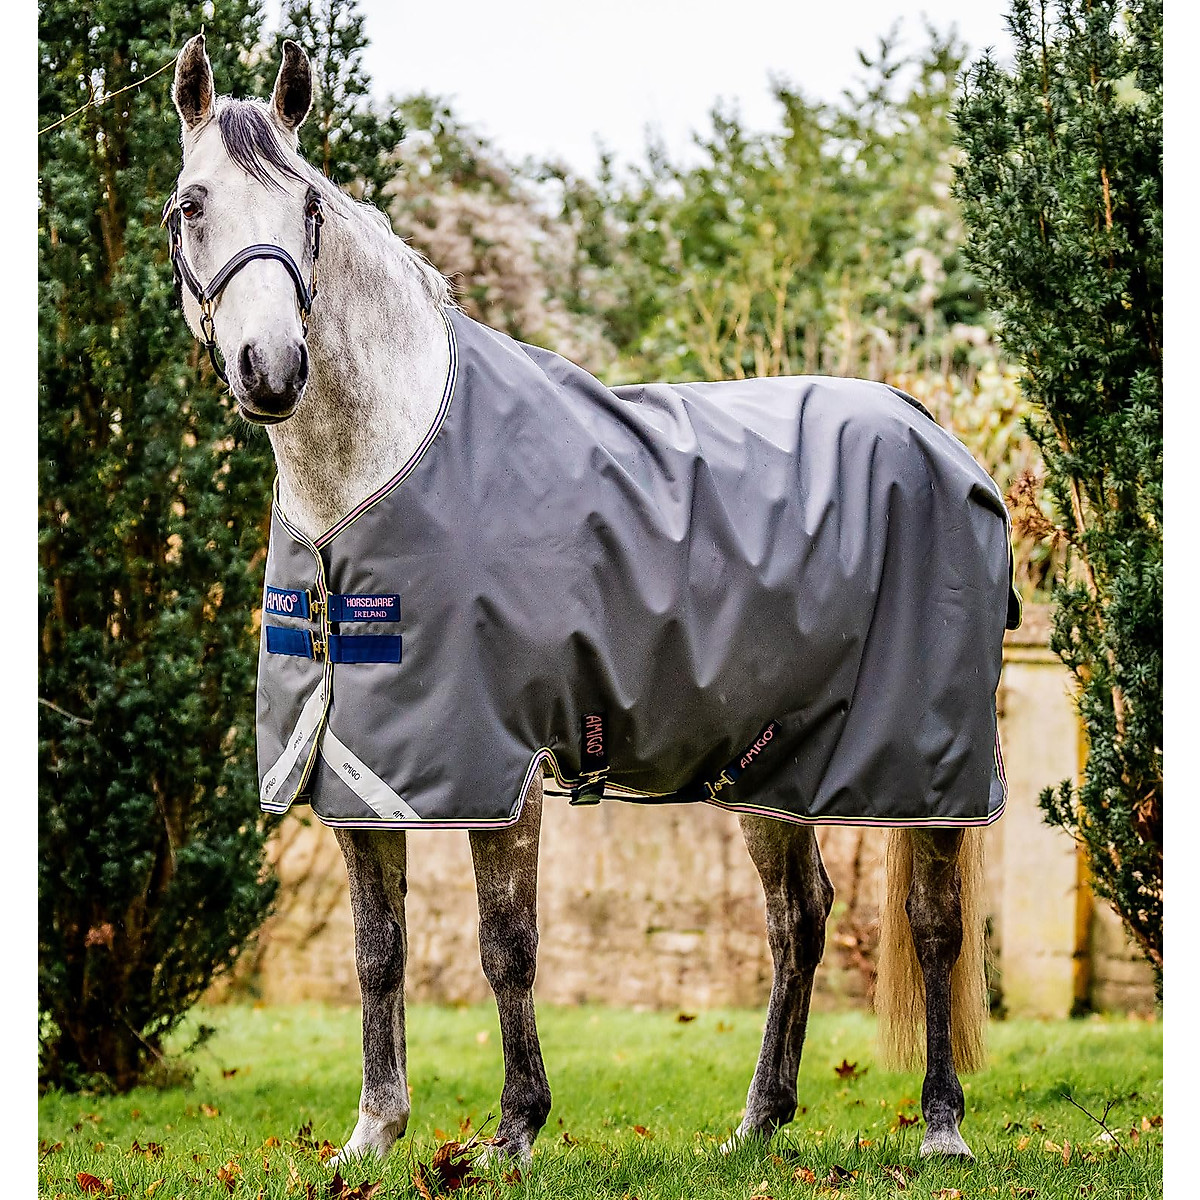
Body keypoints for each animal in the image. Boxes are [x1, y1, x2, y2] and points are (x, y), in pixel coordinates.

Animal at [166, 34, 1007, 1166]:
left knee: (934, 924)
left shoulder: (499, 762)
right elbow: (378, 952)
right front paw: (373, 1136)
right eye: (191, 203)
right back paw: (758, 1126)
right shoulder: (357, 770)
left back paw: (943, 1130)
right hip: (775, 762)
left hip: (923, 761)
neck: (380, 475)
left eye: (306, 207)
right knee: (800, 917)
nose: (271, 367)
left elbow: (505, 946)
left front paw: (513, 1133)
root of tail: (937, 435)